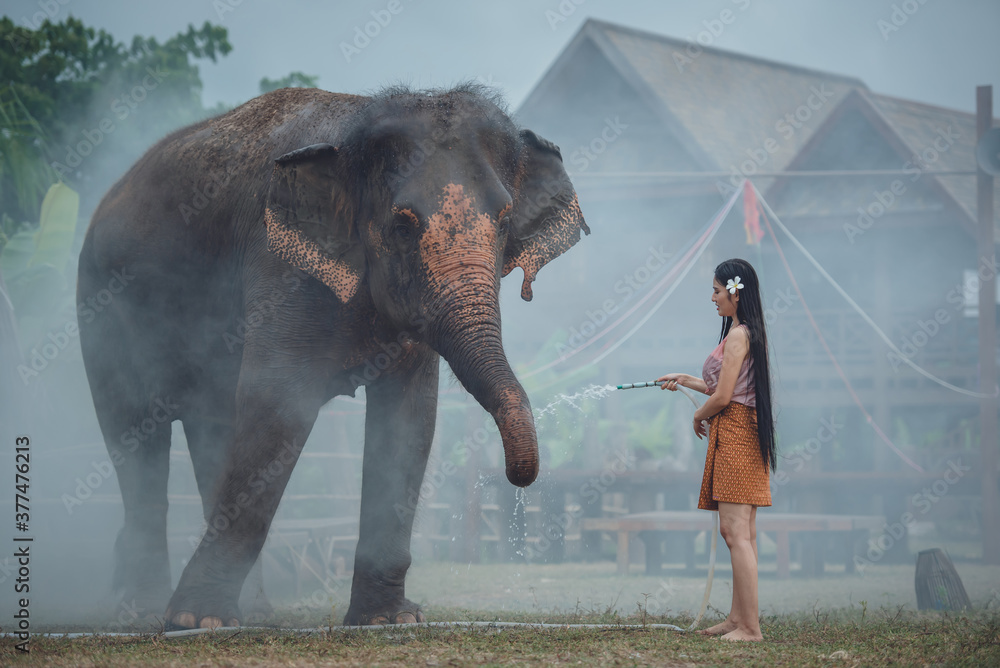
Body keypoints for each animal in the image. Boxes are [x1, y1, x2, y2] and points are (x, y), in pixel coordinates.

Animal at [77, 83, 589, 629]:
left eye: (505, 220)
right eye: (402, 225)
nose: (518, 477)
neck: (355, 122)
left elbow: (409, 419)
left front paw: (388, 620)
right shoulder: (281, 267)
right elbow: (277, 404)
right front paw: (196, 622)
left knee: (211, 425)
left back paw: (250, 612)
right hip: (103, 306)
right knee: (135, 431)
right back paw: (147, 611)